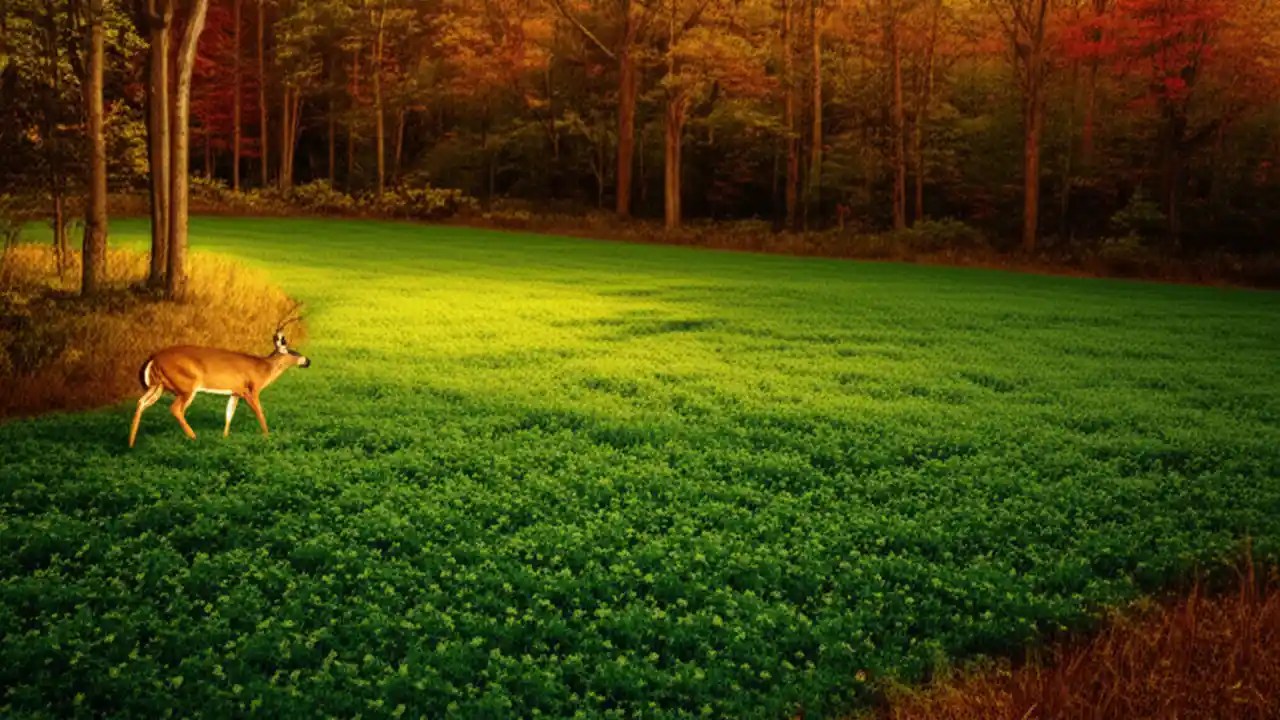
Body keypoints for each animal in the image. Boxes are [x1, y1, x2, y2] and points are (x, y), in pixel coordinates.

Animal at [128, 302, 312, 448]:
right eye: (292, 351)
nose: (308, 361)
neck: (263, 368)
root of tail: (153, 359)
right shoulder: (251, 390)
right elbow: (260, 414)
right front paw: (268, 437)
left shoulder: (235, 392)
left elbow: (228, 415)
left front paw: (224, 438)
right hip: (186, 386)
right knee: (175, 409)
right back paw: (193, 437)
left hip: (158, 386)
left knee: (141, 403)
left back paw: (131, 443)